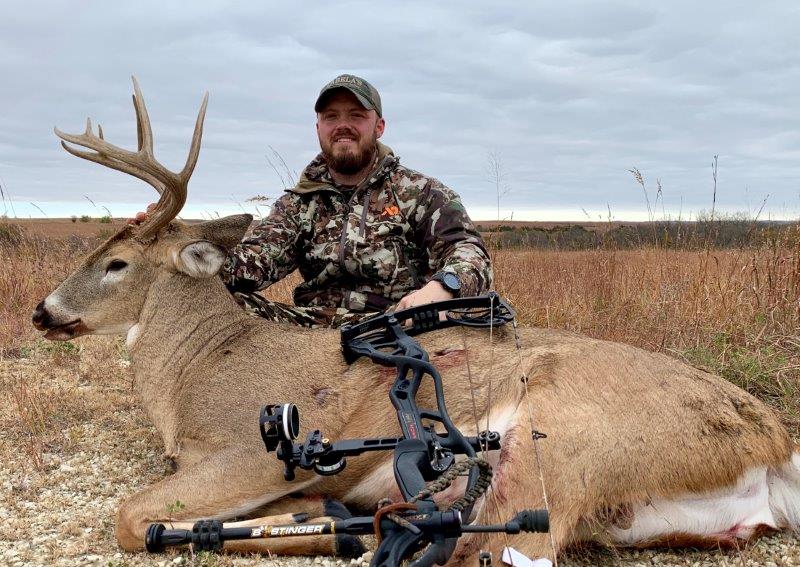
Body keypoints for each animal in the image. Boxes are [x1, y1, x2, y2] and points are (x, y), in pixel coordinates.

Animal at [33, 78, 800, 565]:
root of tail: (772, 438)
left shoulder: (252, 448)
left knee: (484, 545)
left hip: (559, 439)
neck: (191, 368)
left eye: (116, 262)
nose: (43, 311)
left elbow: (131, 516)